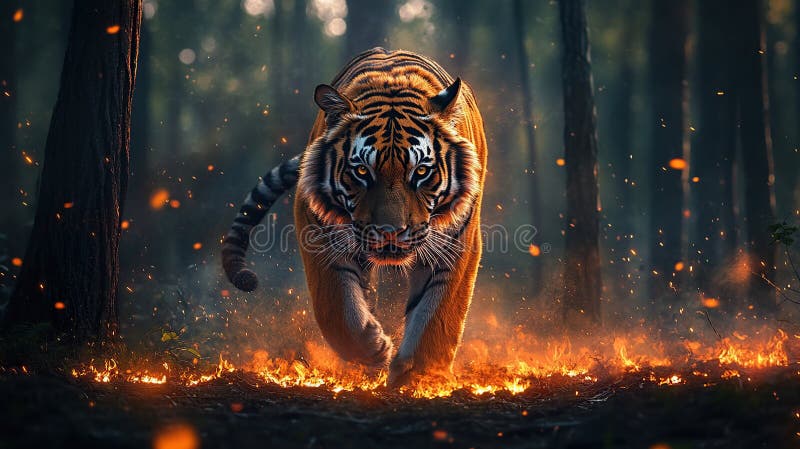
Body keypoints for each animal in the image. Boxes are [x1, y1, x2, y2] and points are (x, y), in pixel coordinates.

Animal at [222, 48, 487, 386]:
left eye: (421, 172)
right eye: (361, 171)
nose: (390, 231)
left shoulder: (457, 243)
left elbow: (438, 316)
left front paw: (418, 376)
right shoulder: (317, 232)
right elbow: (337, 307)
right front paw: (373, 350)